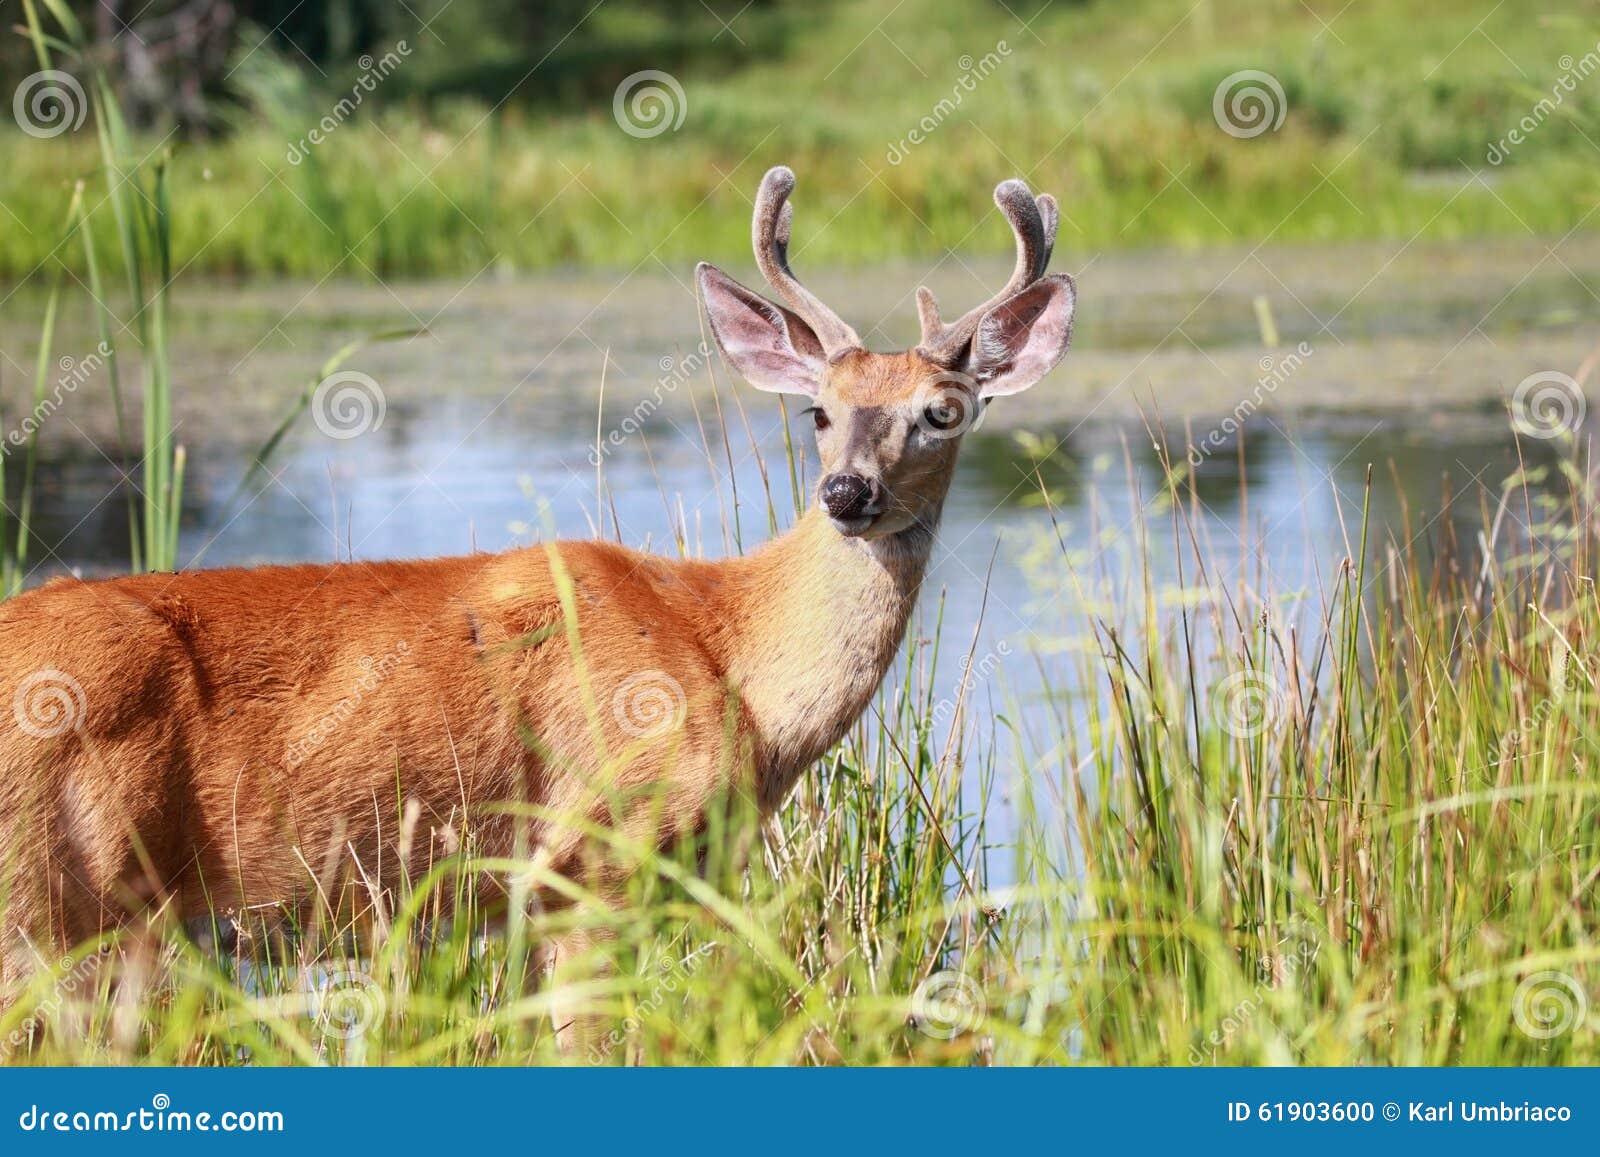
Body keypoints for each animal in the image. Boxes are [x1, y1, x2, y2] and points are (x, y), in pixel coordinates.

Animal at [0, 166, 1074, 1040]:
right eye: (817, 409)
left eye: (943, 411)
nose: (848, 493)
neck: (728, 656)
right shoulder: (590, 862)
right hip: (49, 901)